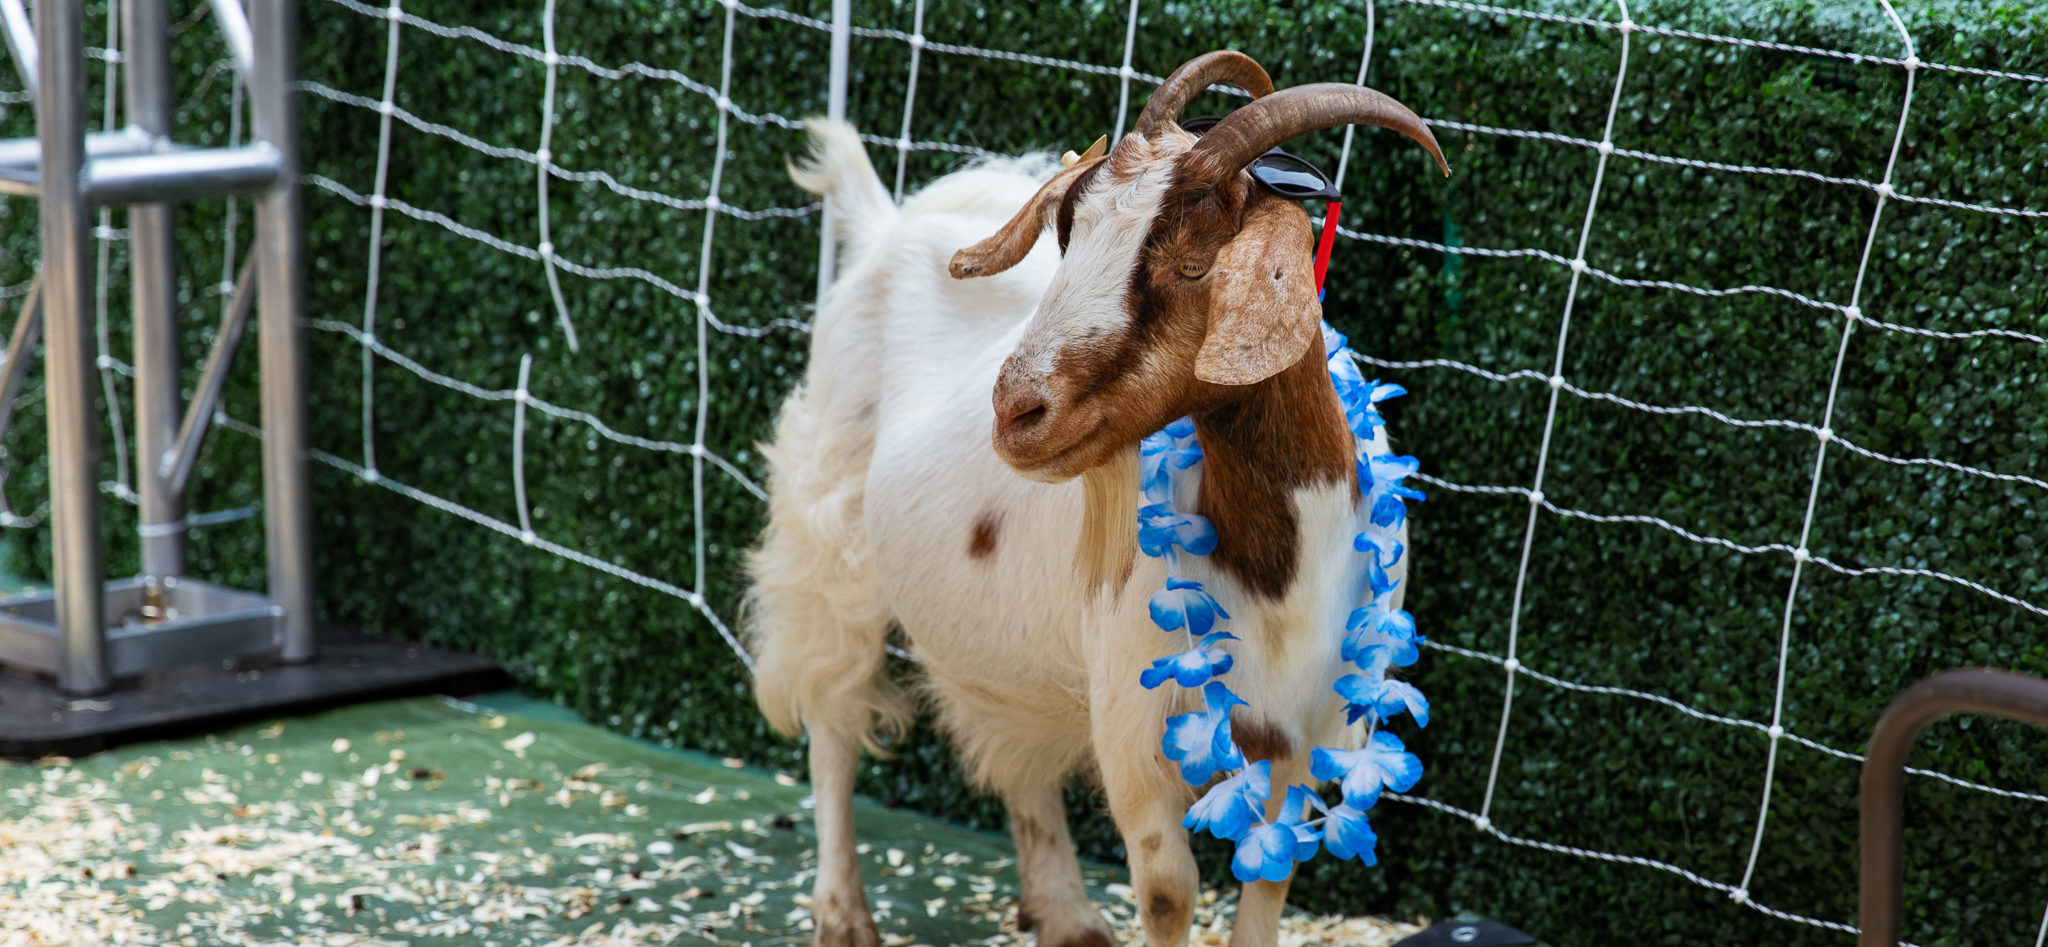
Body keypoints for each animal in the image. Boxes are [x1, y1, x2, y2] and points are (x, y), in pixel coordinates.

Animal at [746, 51, 1447, 947]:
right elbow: (1169, 893)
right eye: (1068, 236)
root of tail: (882, 224)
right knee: (833, 713)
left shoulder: (1303, 727)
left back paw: (1065, 911)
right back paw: (842, 912)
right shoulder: (1137, 729)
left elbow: (1270, 880)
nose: (1016, 410)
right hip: (831, 538)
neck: (1276, 568)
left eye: (1194, 266)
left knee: (1012, 740)